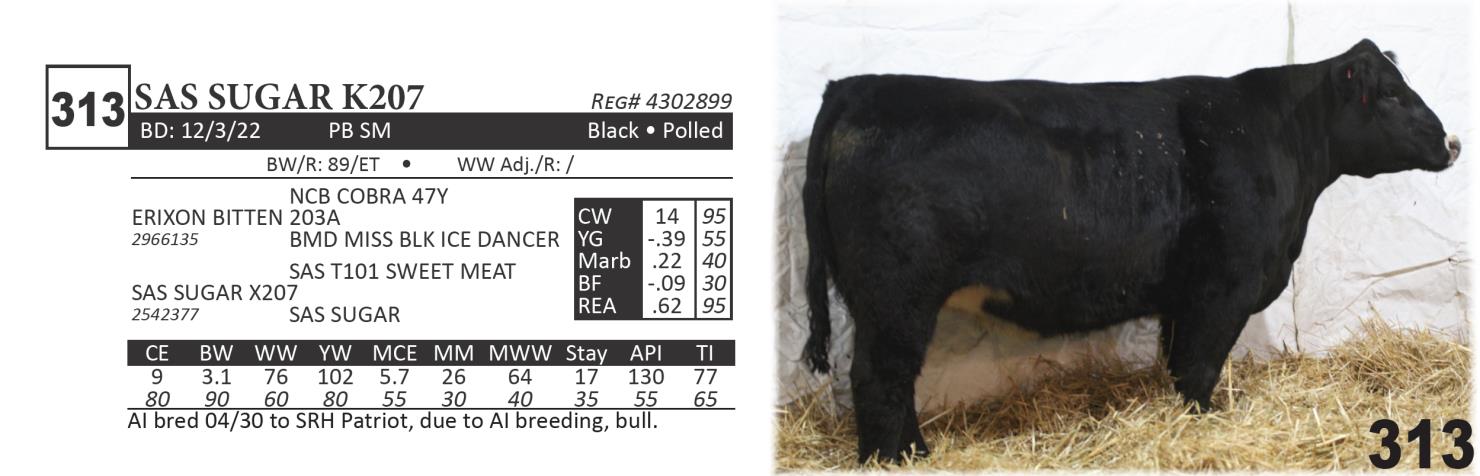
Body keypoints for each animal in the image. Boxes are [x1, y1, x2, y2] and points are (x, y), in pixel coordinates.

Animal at [800, 39, 1461, 463]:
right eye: (1392, 95)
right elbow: (1199, 364)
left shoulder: (1184, 294)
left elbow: (1176, 361)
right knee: (881, 377)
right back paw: (900, 457)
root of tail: (855, 88)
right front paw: (1204, 424)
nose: (1453, 141)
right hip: (896, 293)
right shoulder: (1223, 288)